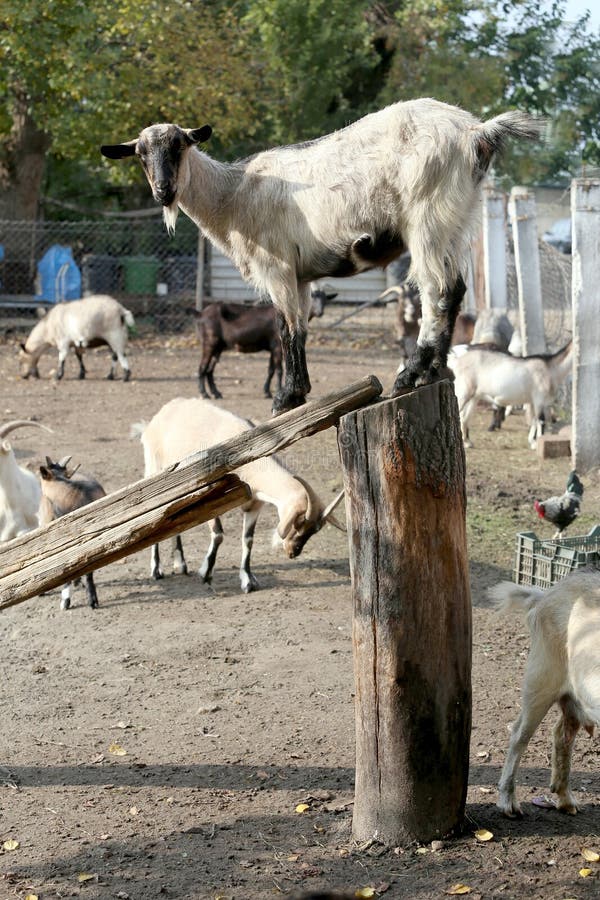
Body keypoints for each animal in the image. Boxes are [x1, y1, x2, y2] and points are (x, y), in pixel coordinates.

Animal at [136, 397, 345, 592]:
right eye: (299, 522)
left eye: (315, 529)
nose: (293, 552)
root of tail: (163, 412)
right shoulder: (210, 499)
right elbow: (218, 534)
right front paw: (206, 573)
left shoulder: (255, 504)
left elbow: (248, 539)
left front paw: (248, 580)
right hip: (154, 470)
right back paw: (156, 570)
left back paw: (180, 564)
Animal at [196, 286, 337, 399]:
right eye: (312, 296)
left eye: (325, 299)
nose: (320, 312)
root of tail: (201, 314)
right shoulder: (277, 346)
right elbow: (279, 369)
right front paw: (278, 390)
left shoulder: (272, 348)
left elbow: (271, 370)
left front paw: (267, 392)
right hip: (209, 343)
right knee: (202, 368)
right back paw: (204, 393)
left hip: (218, 347)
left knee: (210, 370)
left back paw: (216, 393)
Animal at [490, 571, 600, 817]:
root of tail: (544, 595)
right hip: (540, 677)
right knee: (519, 733)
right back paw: (509, 805)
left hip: (572, 697)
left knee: (562, 733)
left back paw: (567, 802)